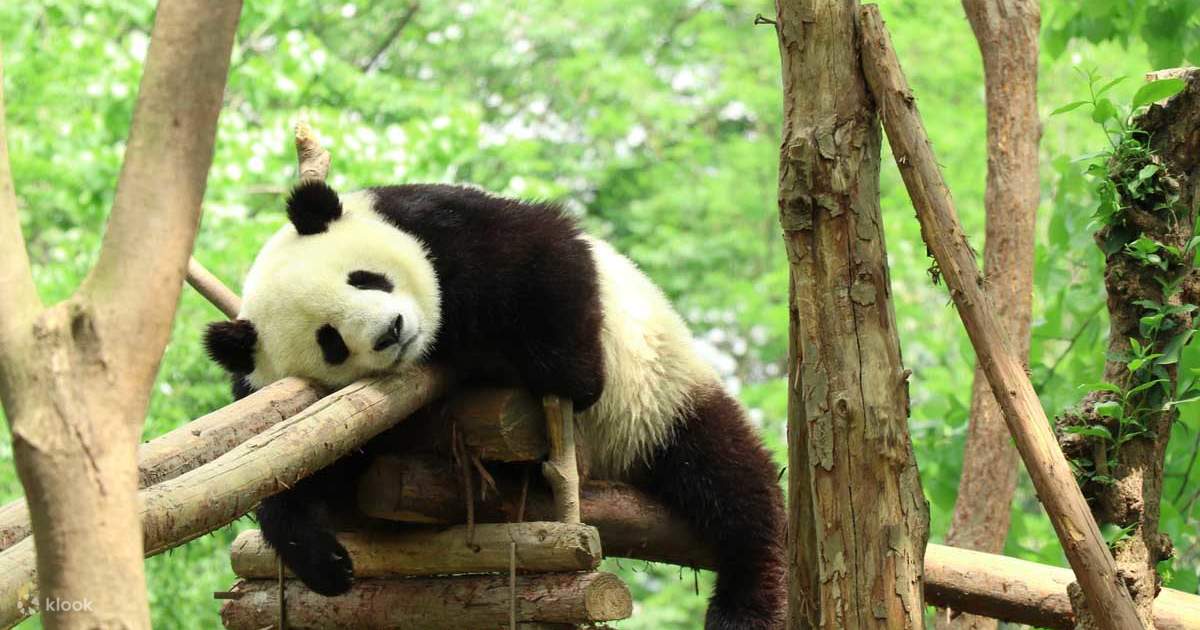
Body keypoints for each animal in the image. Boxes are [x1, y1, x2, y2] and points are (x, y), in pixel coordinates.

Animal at [204, 180, 785, 629]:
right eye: (331, 342)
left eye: (365, 279)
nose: (392, 331)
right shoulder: (276, 398)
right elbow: (292, 470)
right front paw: (325, 561)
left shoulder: (438, 225)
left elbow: (545, 253)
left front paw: (569, 374)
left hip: (660, 396)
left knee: (733, 487)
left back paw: (743, 604)